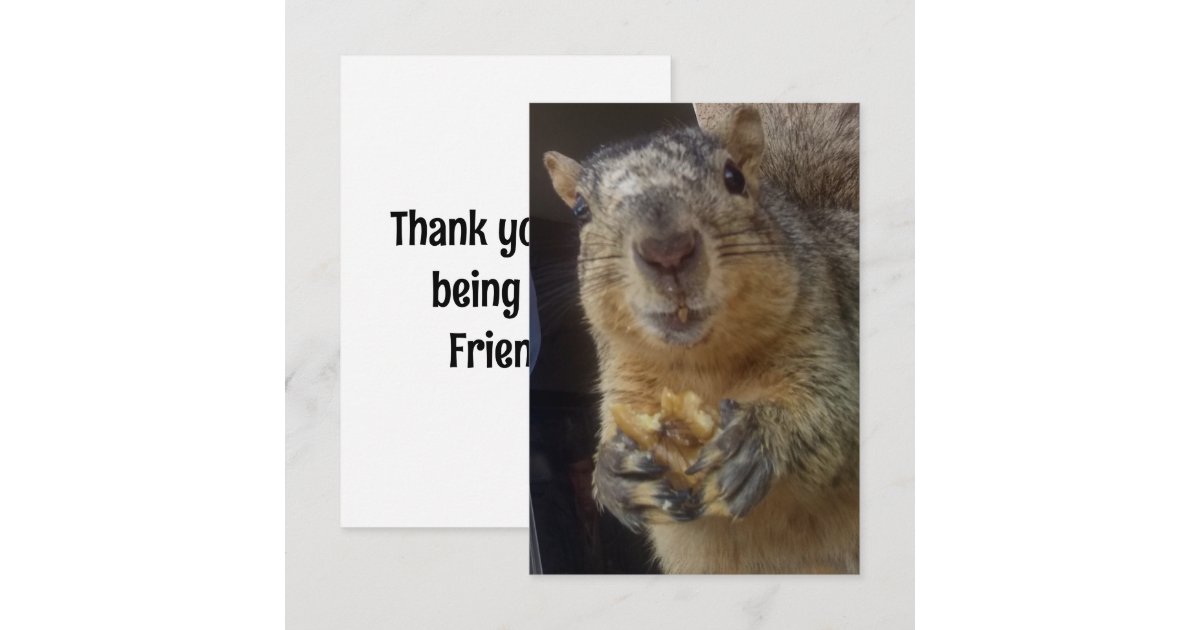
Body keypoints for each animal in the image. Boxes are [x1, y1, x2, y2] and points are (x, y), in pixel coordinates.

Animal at [542, 104, 859, 574]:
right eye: (581, 210)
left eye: (734, 178)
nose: (668, 249)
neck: (699, 363)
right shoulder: (623, 379)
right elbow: (614, 424)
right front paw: (614, 473)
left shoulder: (828, 330)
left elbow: (834, 411)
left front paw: (757, 437)